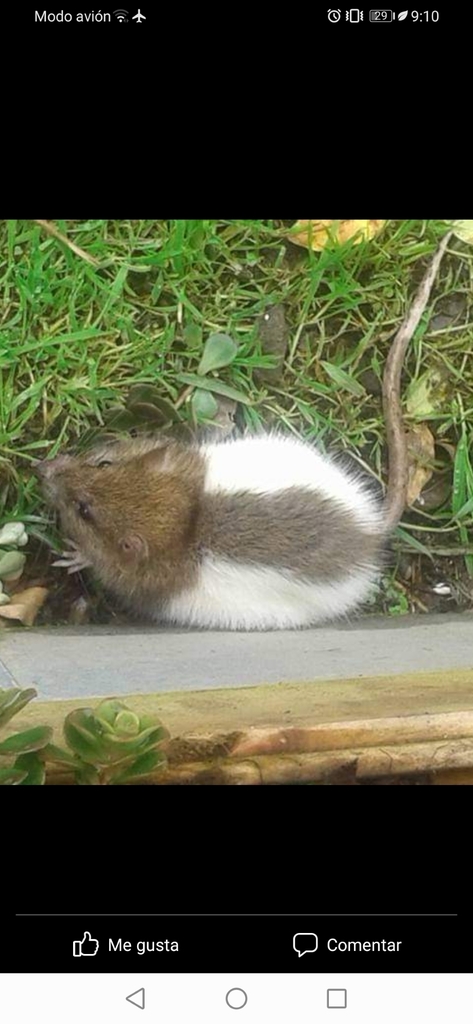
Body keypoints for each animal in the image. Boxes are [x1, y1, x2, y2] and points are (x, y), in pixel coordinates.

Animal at [36, 434, 384, 630]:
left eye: (83, 510)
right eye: (104, 464)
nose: (39, 467)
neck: (185, 522)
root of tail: (372, 537)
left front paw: (72, 556)